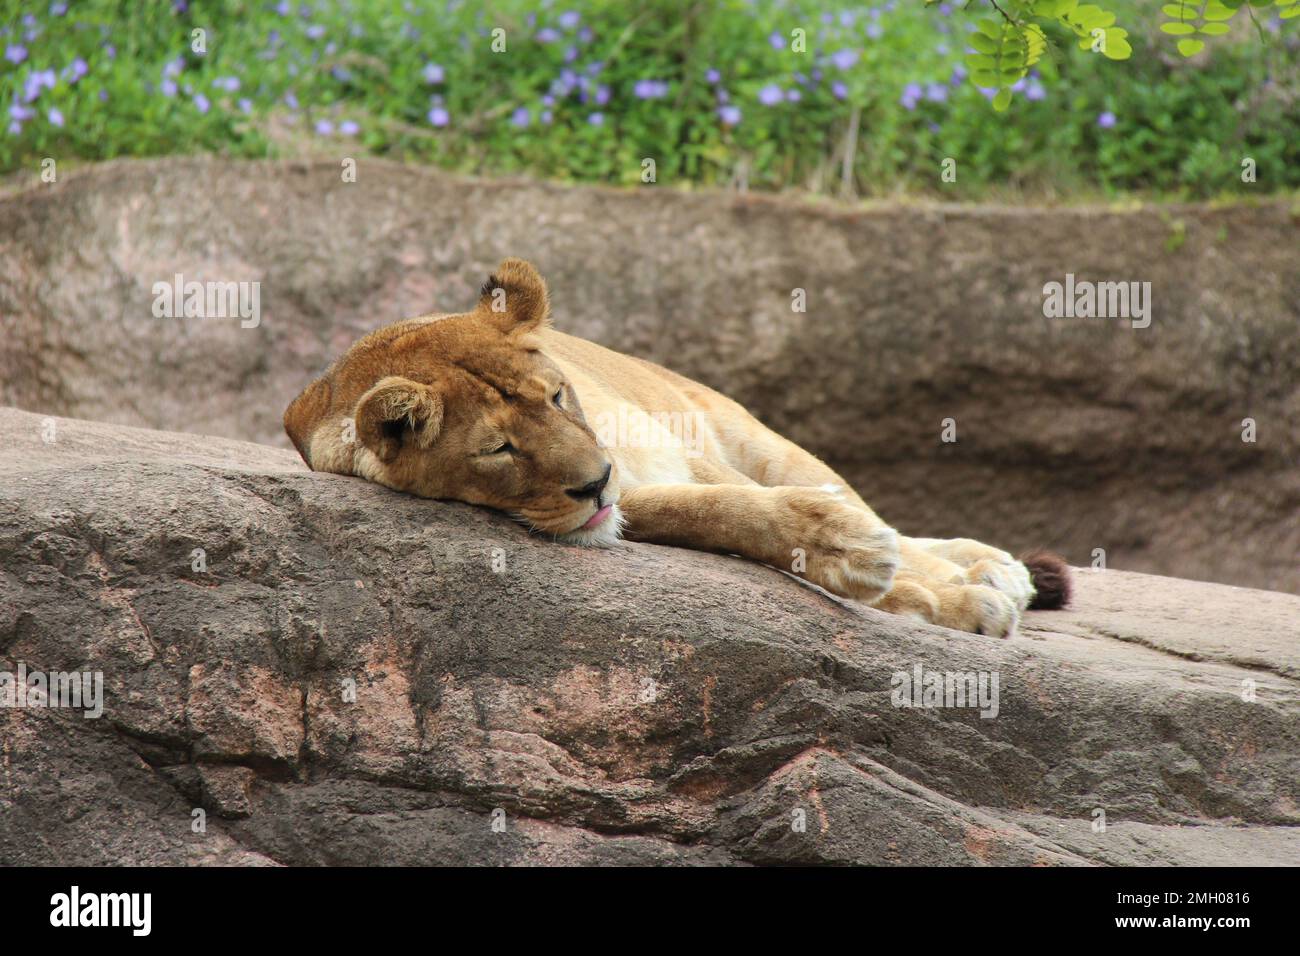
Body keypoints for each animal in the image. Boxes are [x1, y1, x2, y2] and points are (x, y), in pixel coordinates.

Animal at [284, 258, 1070, 636]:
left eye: (557, 397)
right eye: (498, 450)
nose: (596, 481)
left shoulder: (680, 457)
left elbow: (758, 501)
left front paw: (942, 579)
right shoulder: (638, 498)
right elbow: (726, 514)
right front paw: (880, 568)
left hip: (754, 436)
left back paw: (988, 562)